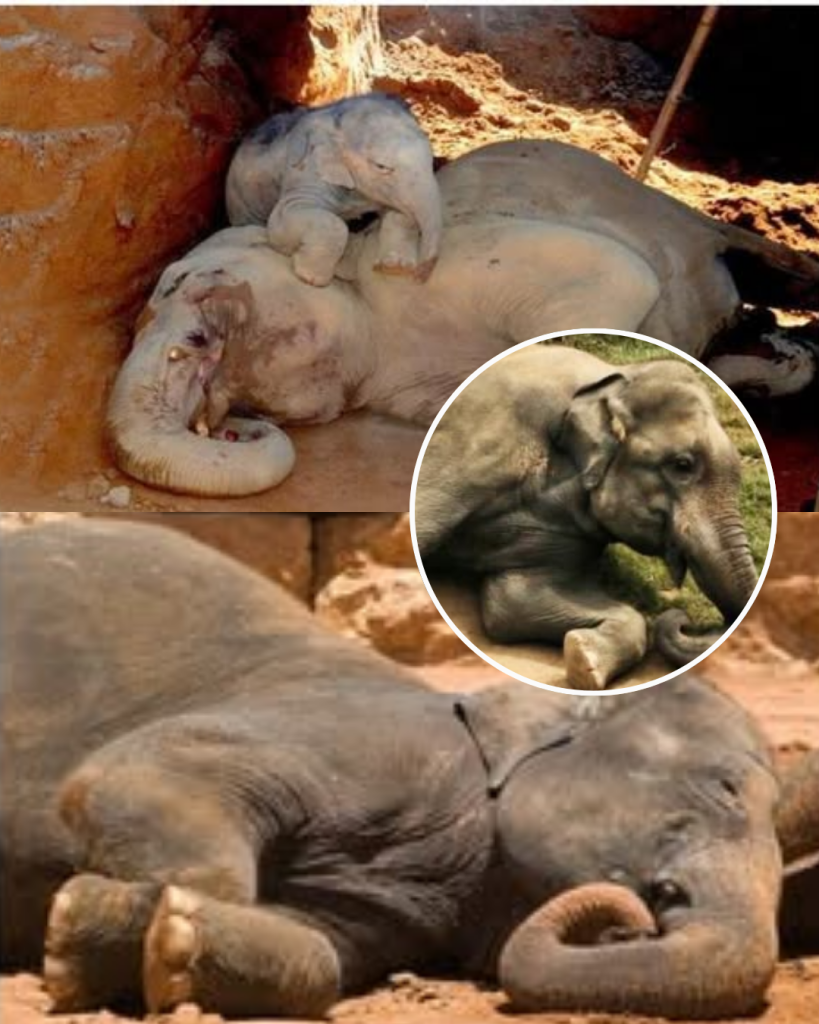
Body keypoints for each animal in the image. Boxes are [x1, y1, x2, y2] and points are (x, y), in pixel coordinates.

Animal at [1, 517, 805, 1020]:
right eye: (723, 788)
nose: (630, 921)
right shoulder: (362, 736)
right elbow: (126, 774)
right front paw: (107, 921)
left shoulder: (390, 912)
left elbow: (318, 956)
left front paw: (113, 940)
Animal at [108, 138, 819, 497]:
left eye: (184, 295)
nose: (233, 428)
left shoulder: (450, 261)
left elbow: (621, 278)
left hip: (670, 213)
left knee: (756, 255)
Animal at [225, 93, 442, 286]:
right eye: (381, 166)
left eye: (433, 160)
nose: (419, 278)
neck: (336, 119)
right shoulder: (307, 171)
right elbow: (284, 219)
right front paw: (310, 278)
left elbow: (400, 214)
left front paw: (395, 268)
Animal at [414, 343, 762, 689]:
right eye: (682, 465)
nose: (684, 619)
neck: (616, 379)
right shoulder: (478, 444)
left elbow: (510, 604)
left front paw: (585, 662)